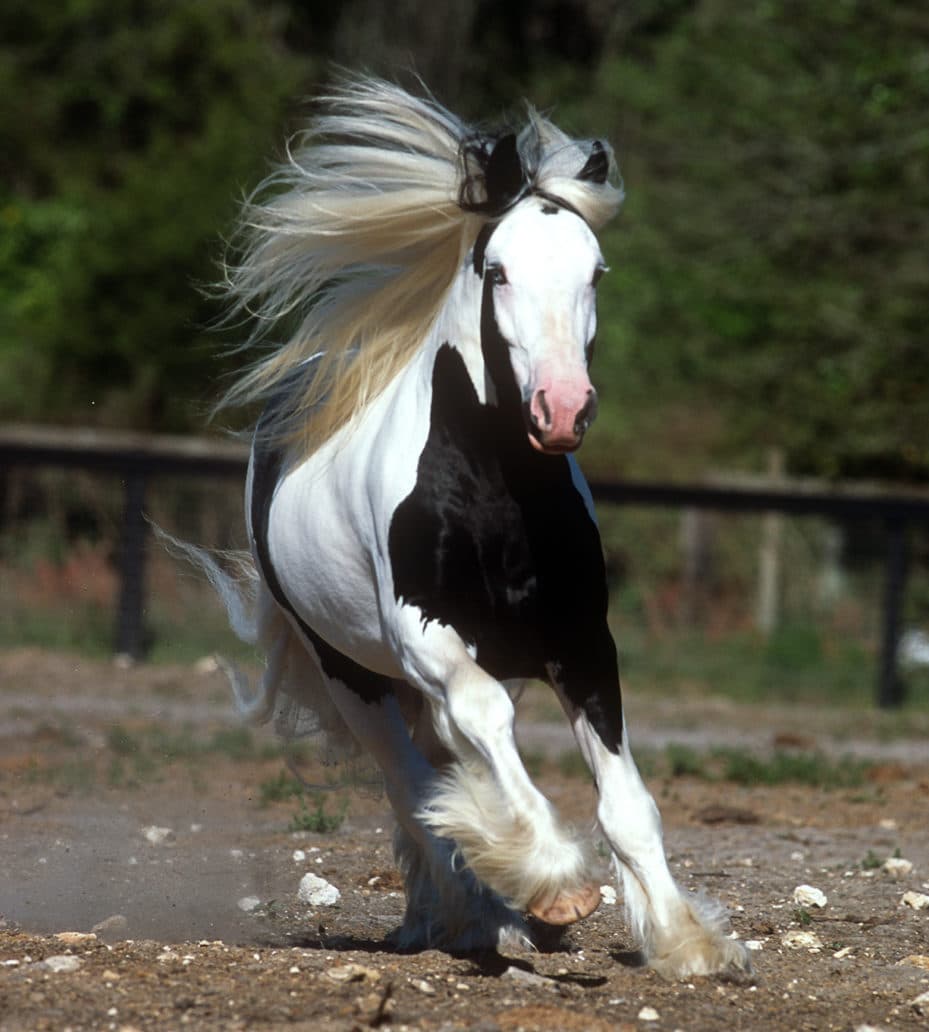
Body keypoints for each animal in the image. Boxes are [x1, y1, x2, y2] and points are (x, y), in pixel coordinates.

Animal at [186, 77, 751, 980]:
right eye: (497, 269)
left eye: (595, 270)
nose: (562, 409)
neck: (492, 492)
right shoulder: (427, 639)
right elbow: (481, 729)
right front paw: (555, 885)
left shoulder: (579, 643)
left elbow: (626, 802)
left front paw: (685, 941)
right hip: (353, 675)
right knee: (414, 784)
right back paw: (474, 916)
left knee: (442, 775)